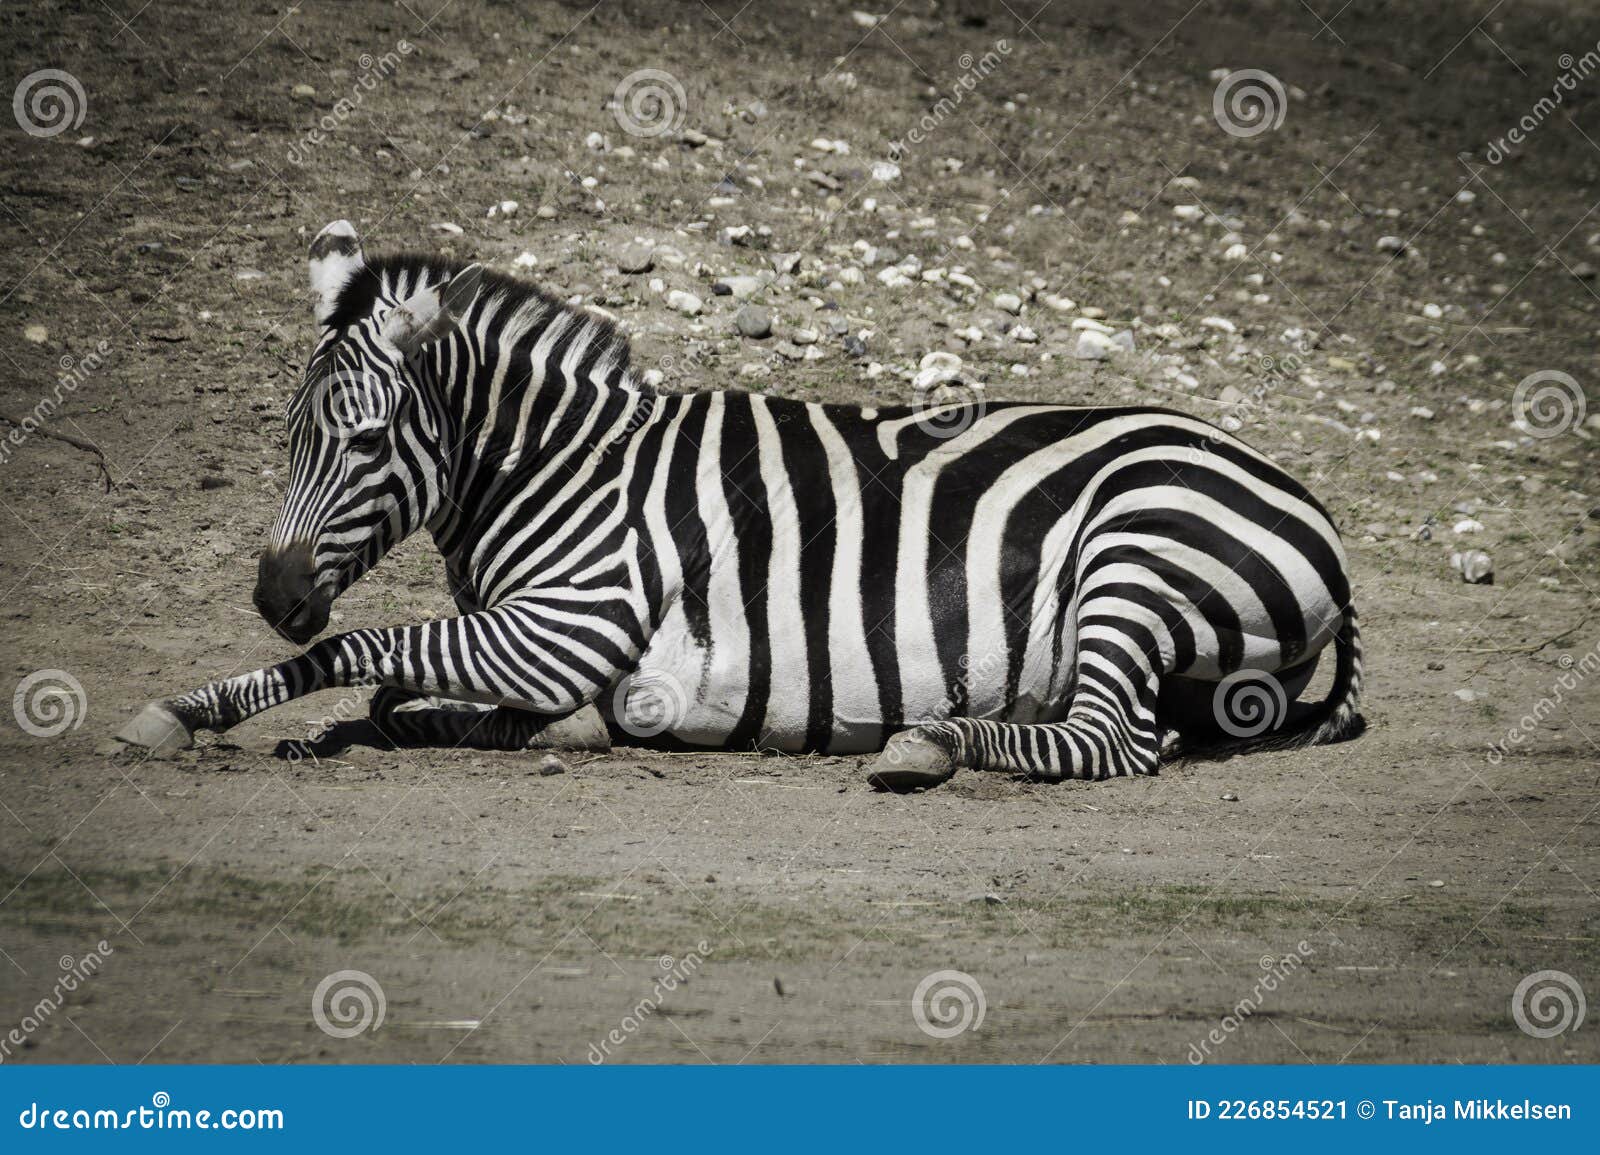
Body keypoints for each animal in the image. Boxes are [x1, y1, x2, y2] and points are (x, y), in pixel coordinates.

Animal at [116, 219, 1364, 789]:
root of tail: (1304, 502)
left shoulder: (567, 626)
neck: (561, 468)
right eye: (287, 435)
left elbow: (356, 653)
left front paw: (186, 710)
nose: (273, 596)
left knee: (1112, 741)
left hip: (1131, 559)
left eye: (369, 442)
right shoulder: (530, 647)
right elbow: (393, 687)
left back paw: (930, 740)